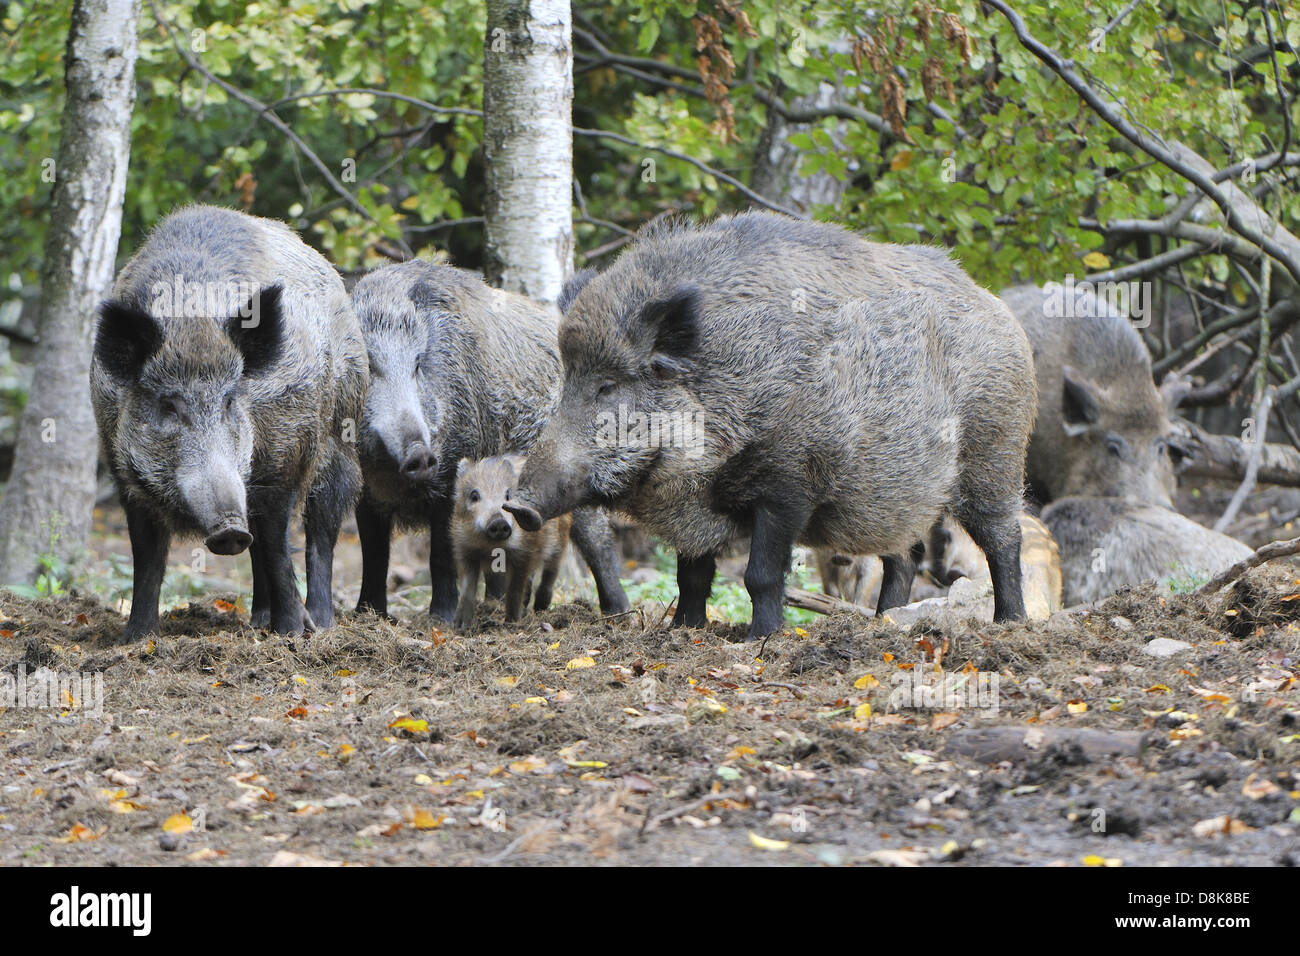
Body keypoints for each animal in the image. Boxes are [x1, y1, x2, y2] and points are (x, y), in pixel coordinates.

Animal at [91, 205, 367, 639]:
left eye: (230, 399)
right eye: (169, 405)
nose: (228, 529)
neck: (193, 324)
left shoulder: (283, 457)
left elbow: (276, 546)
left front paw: (292, 635)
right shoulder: (122, 470)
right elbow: (147, 557)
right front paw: (136, 638)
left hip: (341, 435)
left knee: (319, 532)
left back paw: (319, 624)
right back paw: (258, 620)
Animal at [451, 455, 572, 630]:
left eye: (508, 495)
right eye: (474, 496)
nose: (499, 521)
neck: (491, 546)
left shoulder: (525, 553)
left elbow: (515, 589)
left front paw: (511, 623)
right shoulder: (464, 549)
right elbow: (467, 588)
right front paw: (459, 627)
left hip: (561, 539)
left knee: (551, 572)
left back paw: (539, 608)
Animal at [504, 212, 1037, 637]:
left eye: (608, 385)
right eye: (567, 375)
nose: (517, 504)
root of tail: (1000, 310)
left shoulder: (790, 481)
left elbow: (759, 574)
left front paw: (762, 638)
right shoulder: (693, 505)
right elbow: (691, 576)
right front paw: (684, 631)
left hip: (995, 449)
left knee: (1003, 538)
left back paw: (1011, 622)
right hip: (892, 492)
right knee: (904, 553)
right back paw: (884, 624)